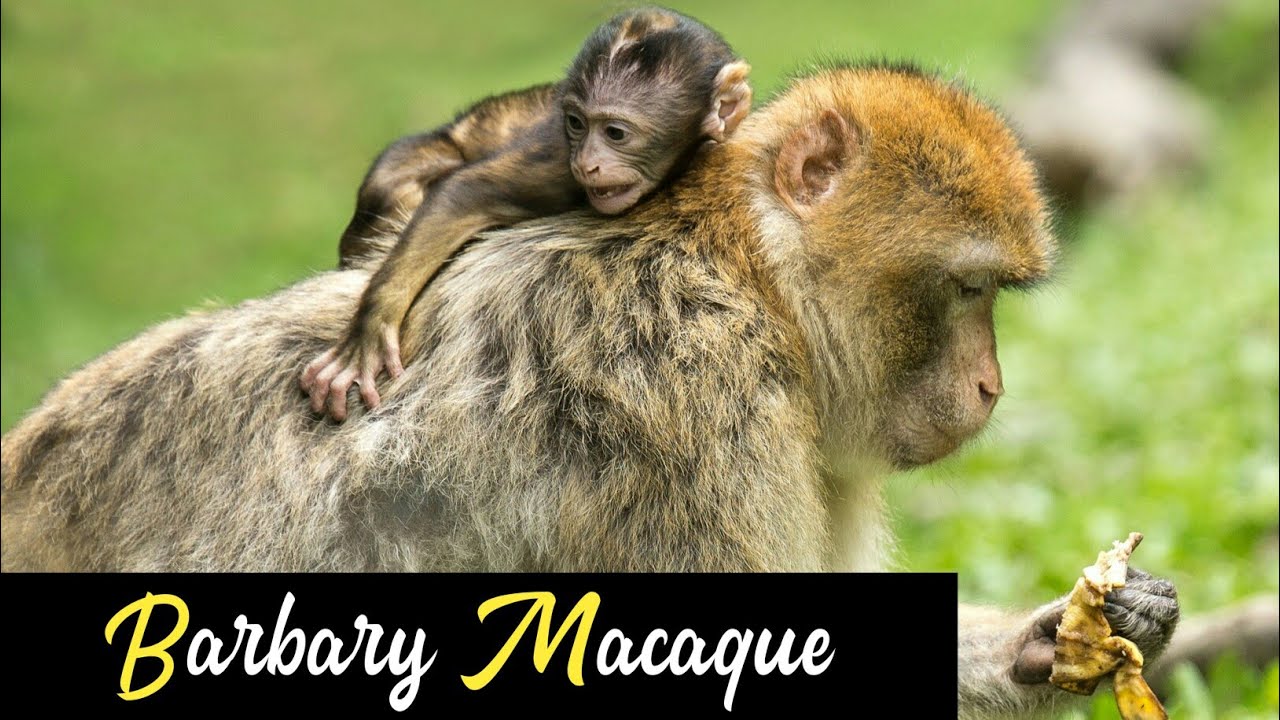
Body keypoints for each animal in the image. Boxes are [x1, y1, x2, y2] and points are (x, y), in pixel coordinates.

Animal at [302, 7, 753, 420]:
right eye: (576, 124)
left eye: (615, 133)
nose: (588, 163)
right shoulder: (557, 165)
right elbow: (464, 194)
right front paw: (369, 333)